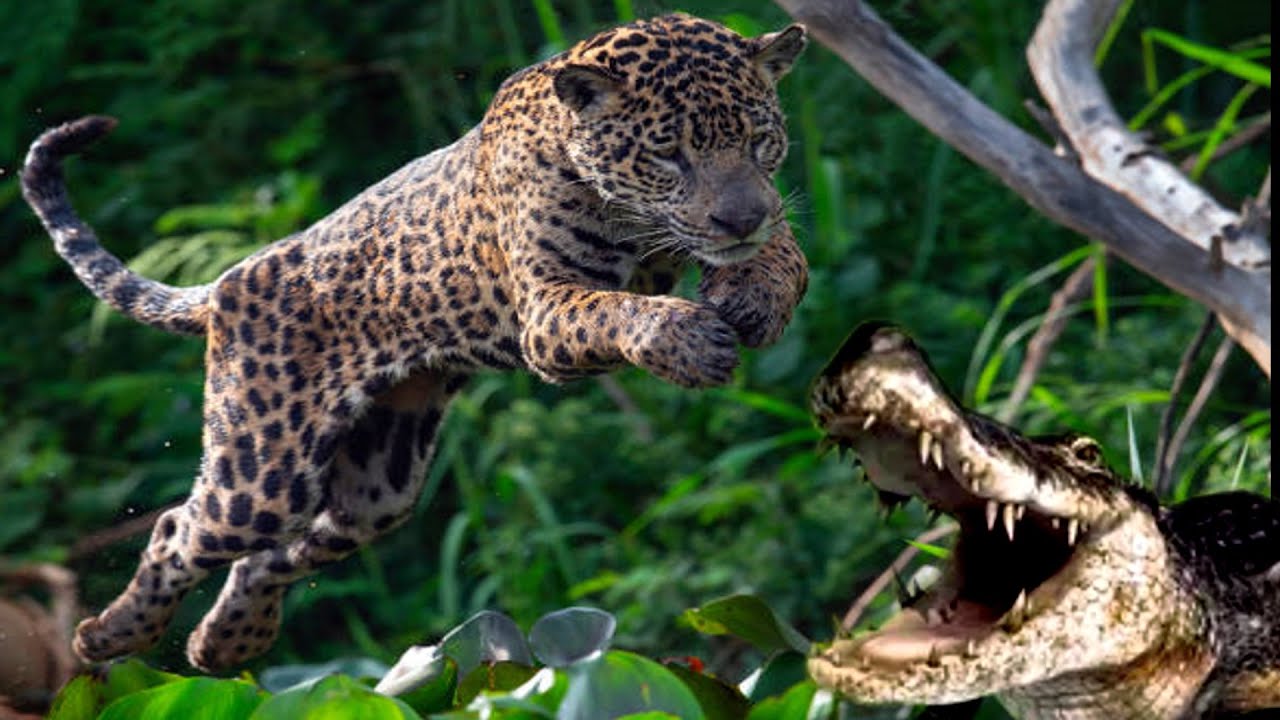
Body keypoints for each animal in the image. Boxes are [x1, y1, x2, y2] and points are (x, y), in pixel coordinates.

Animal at [21, 13, 808, 672]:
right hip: (261, 471)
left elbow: (785, 257)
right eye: (668, 154)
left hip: (382, 482)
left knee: (279, 554)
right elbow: (616, 308)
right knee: (180, 529)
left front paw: (753, 299)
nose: (738, 219)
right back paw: (108, 635)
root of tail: (229, 280)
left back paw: (225, 643)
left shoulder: (764, 219)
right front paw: (688, 340)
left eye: (758, 139)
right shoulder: (546, 308)